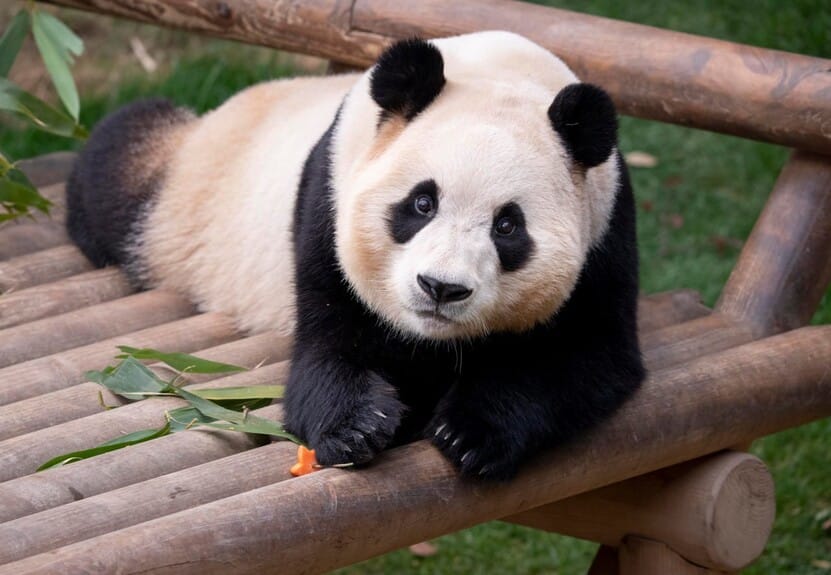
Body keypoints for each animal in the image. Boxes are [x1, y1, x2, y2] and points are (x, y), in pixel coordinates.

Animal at [67, 31, 645, 480]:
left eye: (507, 226)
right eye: (422, 202)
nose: (441, 288)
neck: (500, 71)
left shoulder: (605, 232)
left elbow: (588, 358)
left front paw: (471, 433)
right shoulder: (327, 202)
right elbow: (327, 350)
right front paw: (359, 427)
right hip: (183, 202)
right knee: (120, 157)